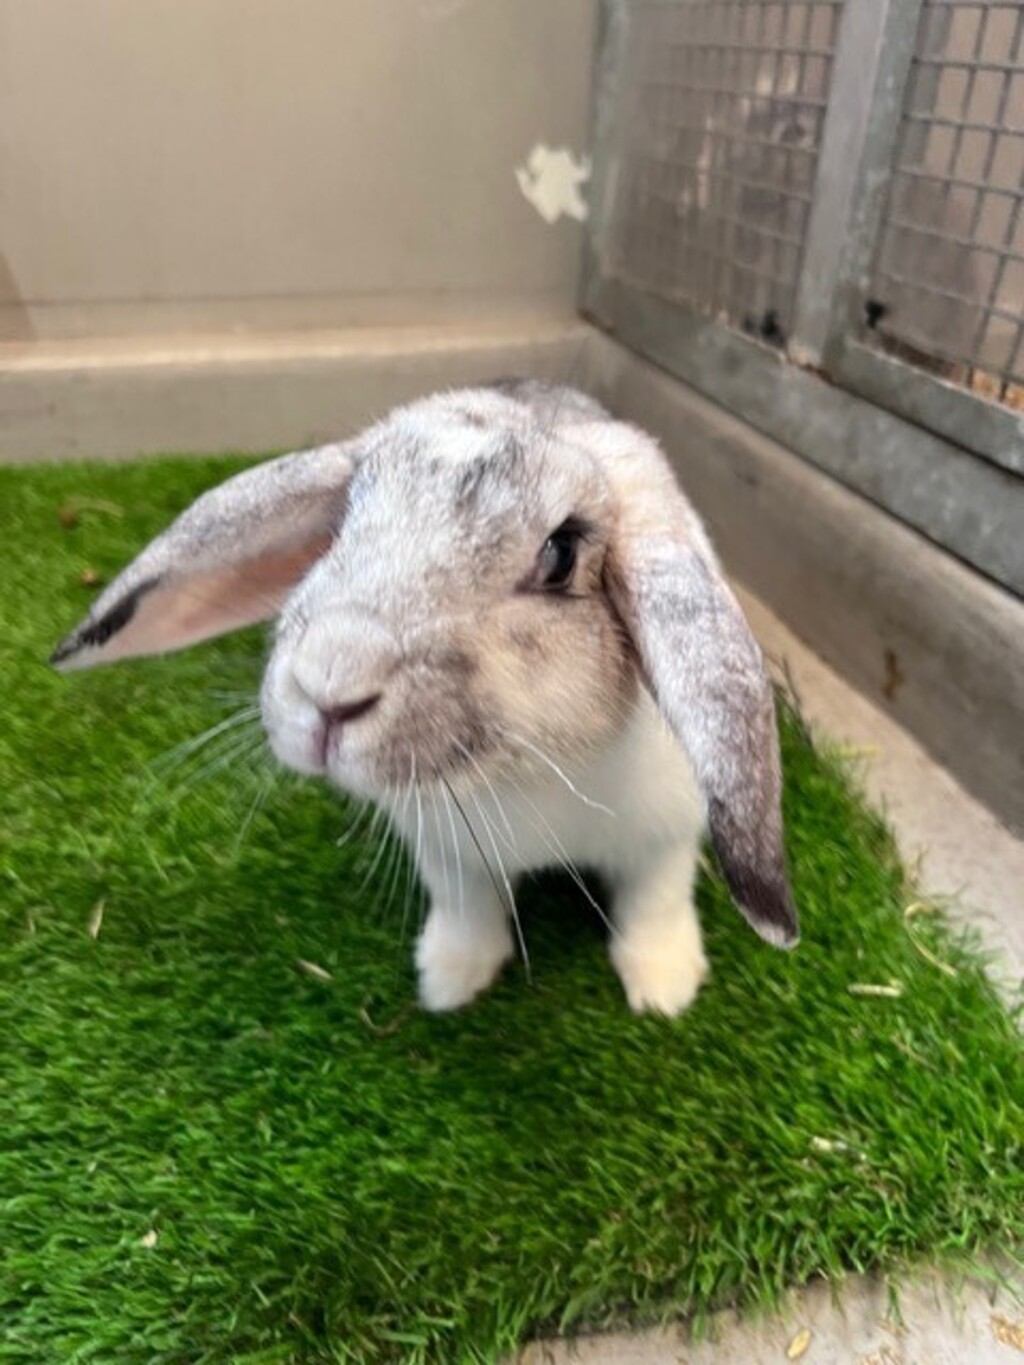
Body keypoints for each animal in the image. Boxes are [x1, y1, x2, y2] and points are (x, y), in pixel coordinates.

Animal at [51, 379, 797, 1015]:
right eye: (342, 522)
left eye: (561, 554)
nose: (328, 686)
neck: (526, 771)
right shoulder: (447, 856)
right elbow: (470, 912)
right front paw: (449, 978)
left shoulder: (664, 844)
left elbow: (655, 904)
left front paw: (665, 988)